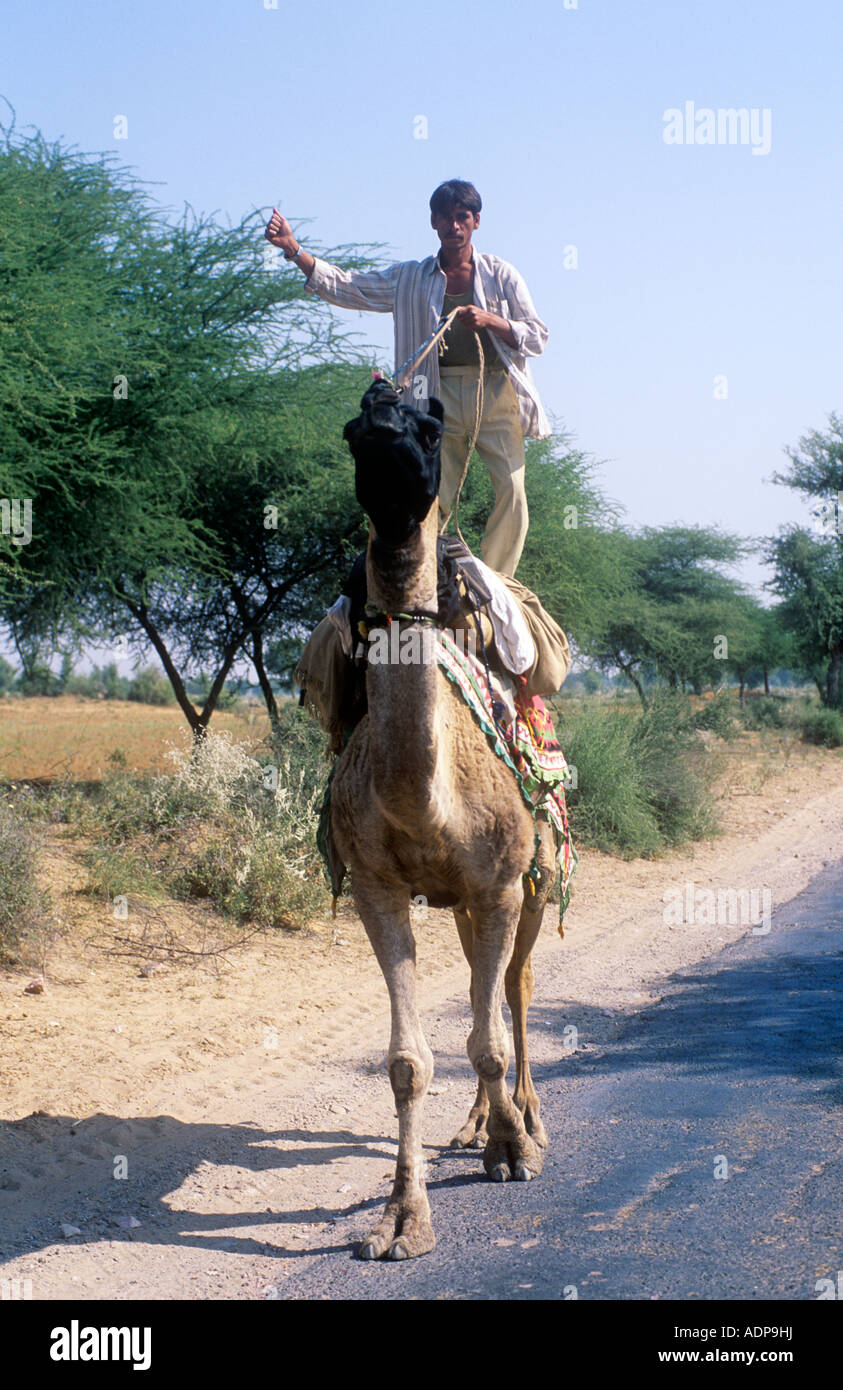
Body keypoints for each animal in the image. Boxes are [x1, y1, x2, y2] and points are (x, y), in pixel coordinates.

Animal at [329, 380, 557, 1261]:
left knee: (515, 989)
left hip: (530, 880)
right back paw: (471, 1126)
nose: (383, 423)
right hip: (459, 899)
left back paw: (528, 1119)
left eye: (430, 430)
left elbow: (487, 1035)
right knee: (476, 987)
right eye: (352, 431)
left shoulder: (498, 884)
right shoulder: (376, 886)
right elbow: (407, 1061)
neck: (424, 797)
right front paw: (400, 1219)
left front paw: (513, 1152)